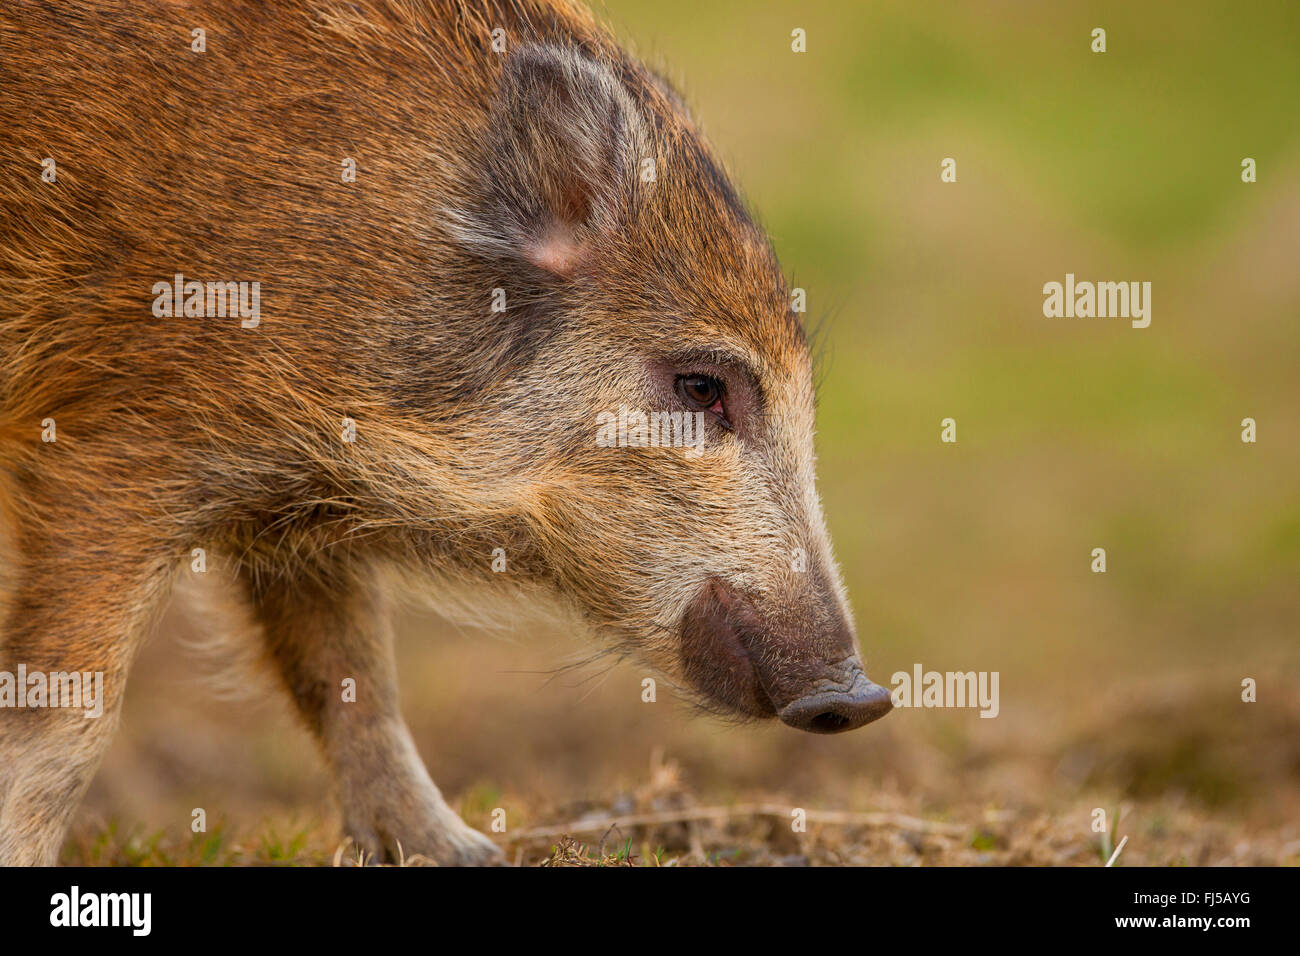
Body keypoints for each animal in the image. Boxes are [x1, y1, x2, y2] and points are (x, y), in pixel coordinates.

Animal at [0, 0, 892, 866]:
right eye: (702, 386)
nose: (859, 698)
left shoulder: (289, 509)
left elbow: (352, 677)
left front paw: (464, 852)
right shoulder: (116, 450)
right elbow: (68, 717)